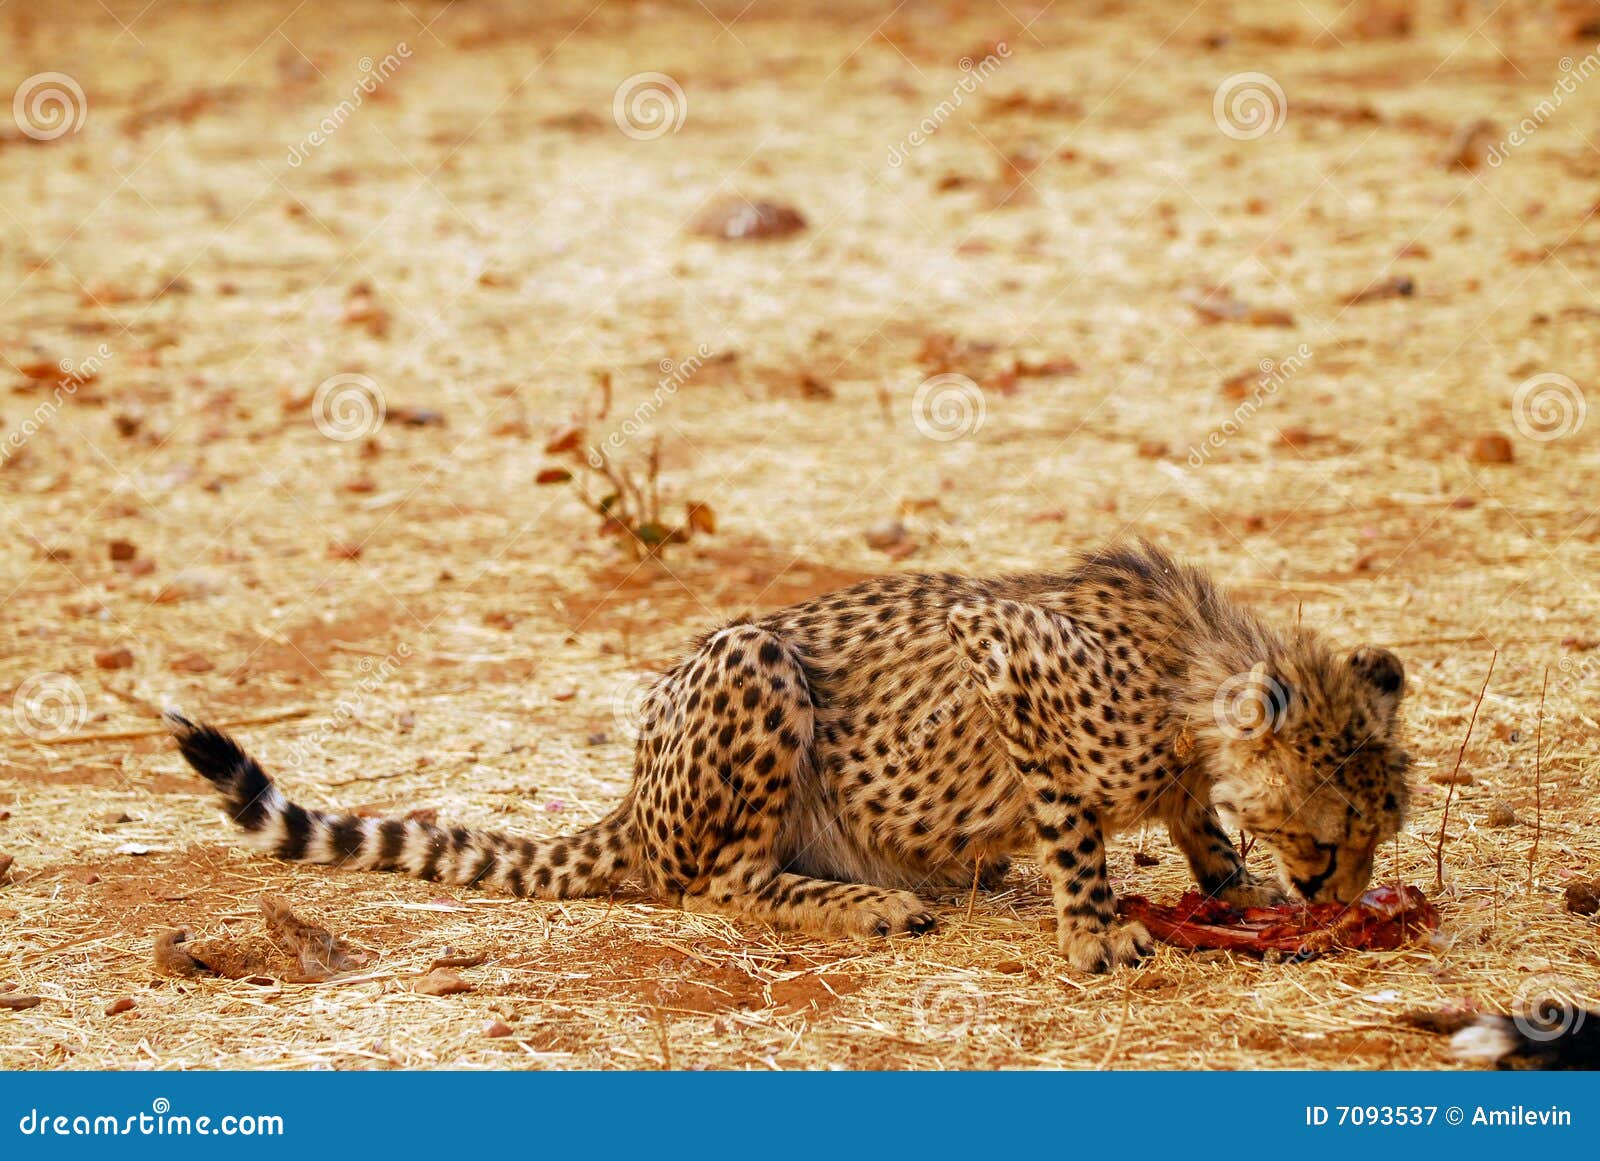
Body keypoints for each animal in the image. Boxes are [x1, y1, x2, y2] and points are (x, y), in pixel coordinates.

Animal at [164, 540, 1412, 972]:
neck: (1196, 683)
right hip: (753, 664)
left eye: (1376, 836)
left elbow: (1195, 824)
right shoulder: (1006, 652)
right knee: (717, 883)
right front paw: (1097, 933)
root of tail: (633, 798)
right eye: (1331, 836)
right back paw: (872, 905)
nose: (1338, 896)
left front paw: (1228, 884)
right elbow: (1073, 831)